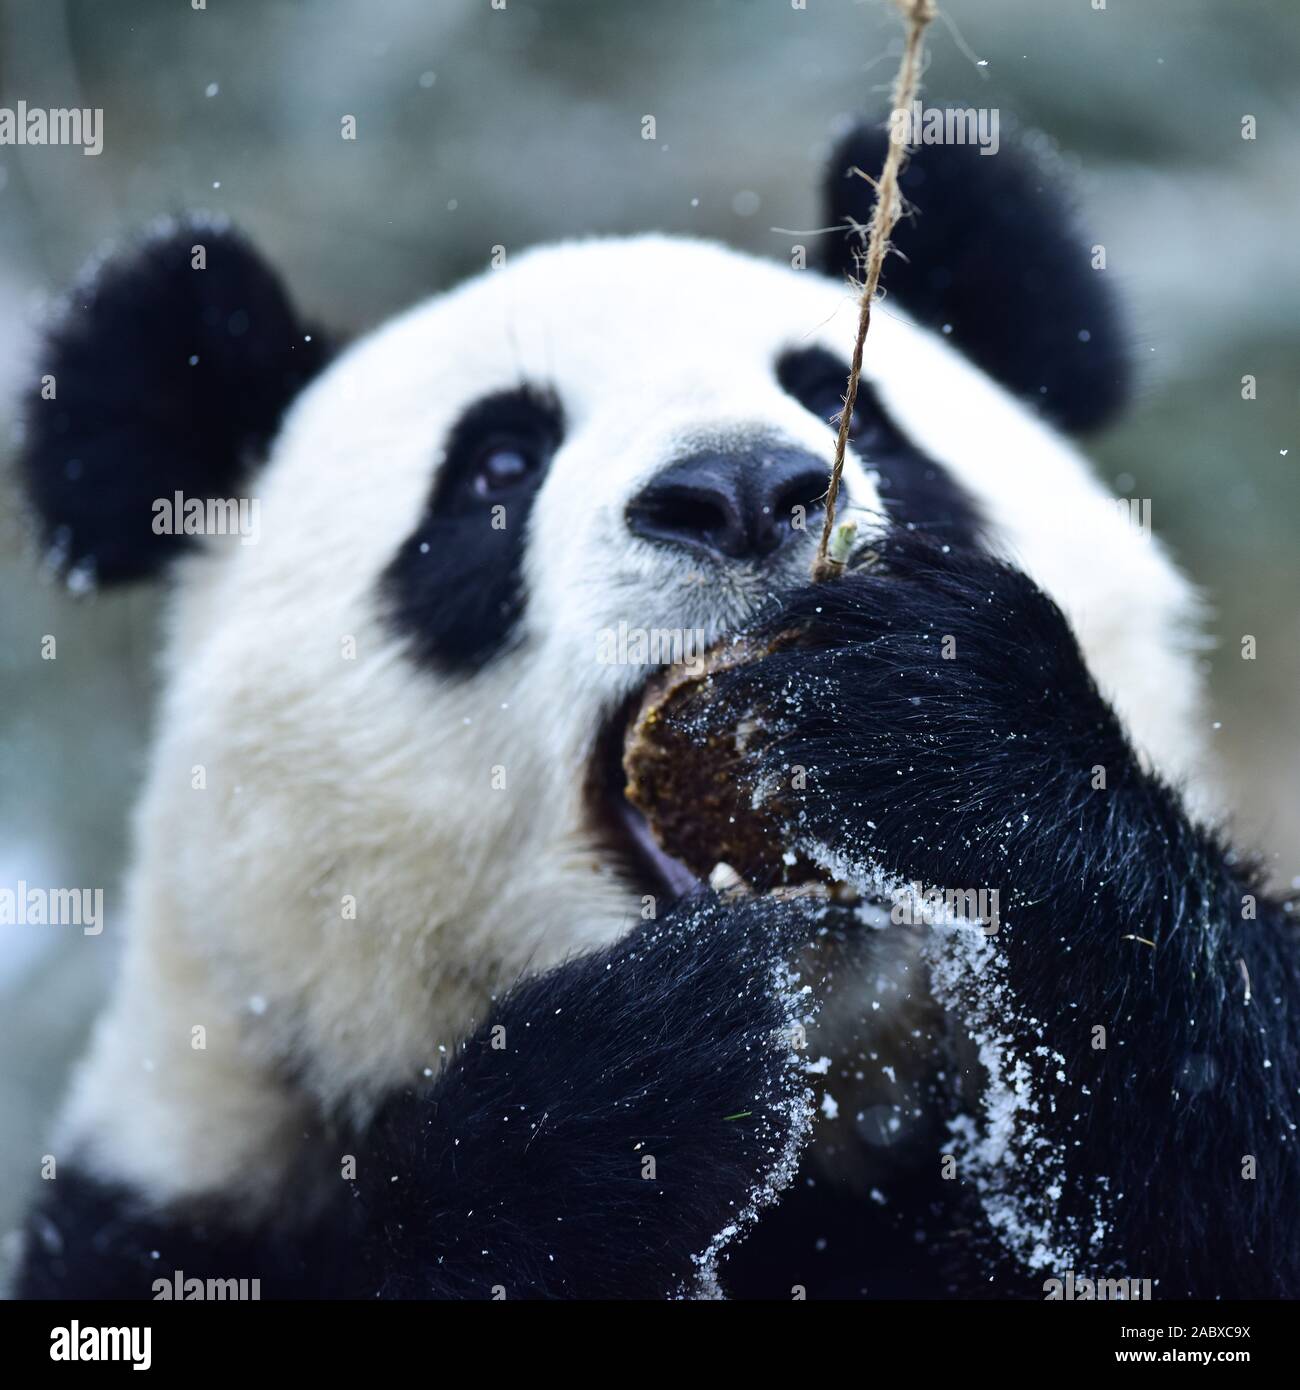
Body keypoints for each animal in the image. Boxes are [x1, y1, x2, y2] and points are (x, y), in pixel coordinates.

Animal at [13, 120, 1300, 1300]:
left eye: (852, 406)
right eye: (497, 465)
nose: (743, 488)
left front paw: (945, 729)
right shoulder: (169, 1196)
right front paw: (615, 1097)